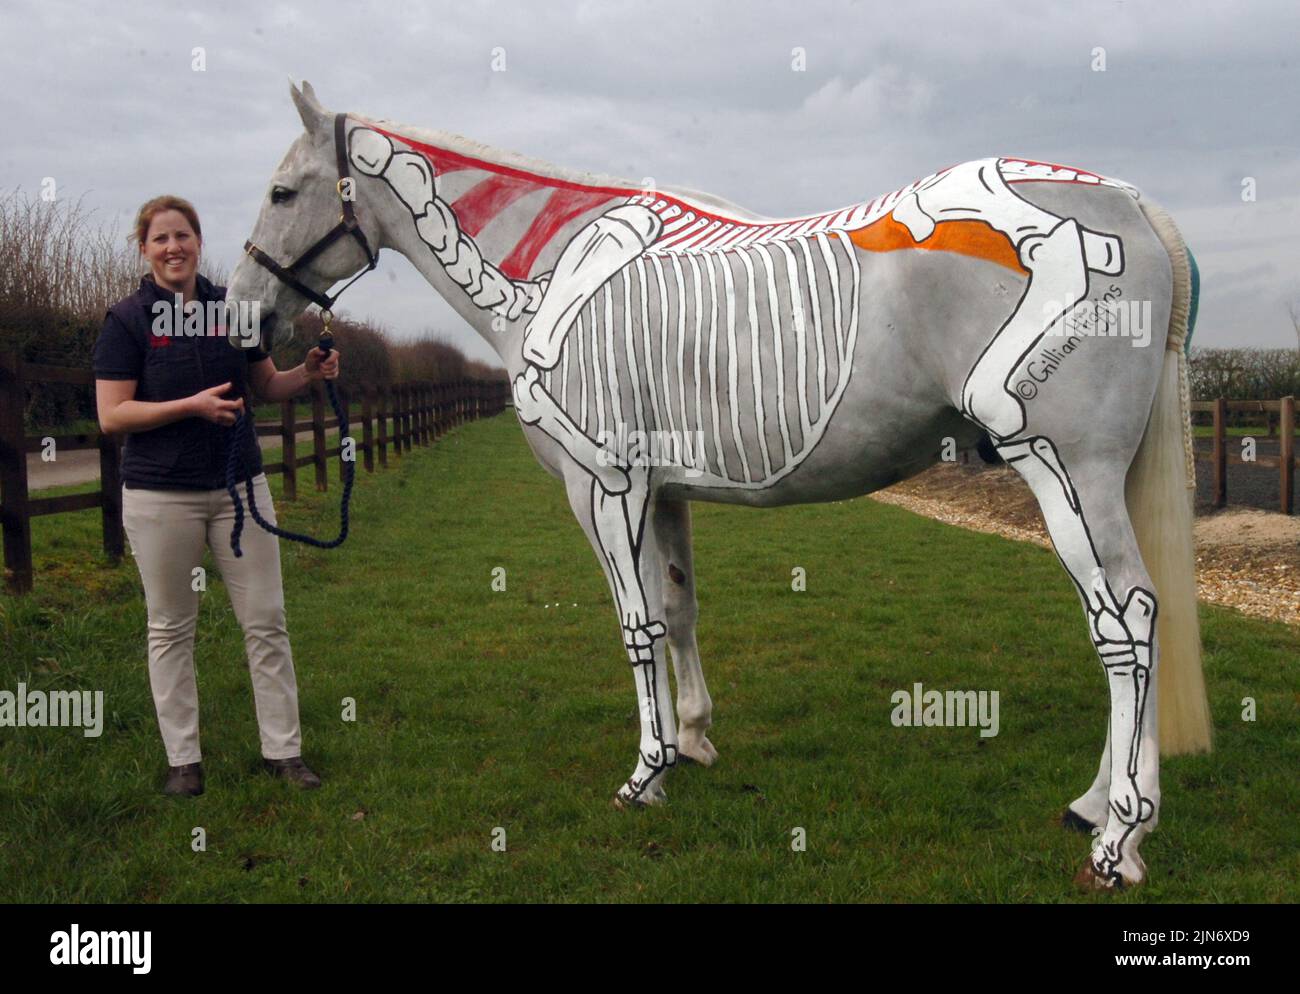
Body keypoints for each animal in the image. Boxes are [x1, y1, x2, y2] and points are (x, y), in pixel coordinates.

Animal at [226, 81, 1213, 889]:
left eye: (282, 193)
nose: (245, 321)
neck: (548, 282)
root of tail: (1133, 204)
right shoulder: (661, 491)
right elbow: (678, 610)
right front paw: (693, 739)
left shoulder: (602, 484)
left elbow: (635, 627)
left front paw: (645, 774)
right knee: (1137, 616)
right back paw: (1100, 807)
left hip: (1065, 468)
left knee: (1124, 621)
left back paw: (1120, 841)